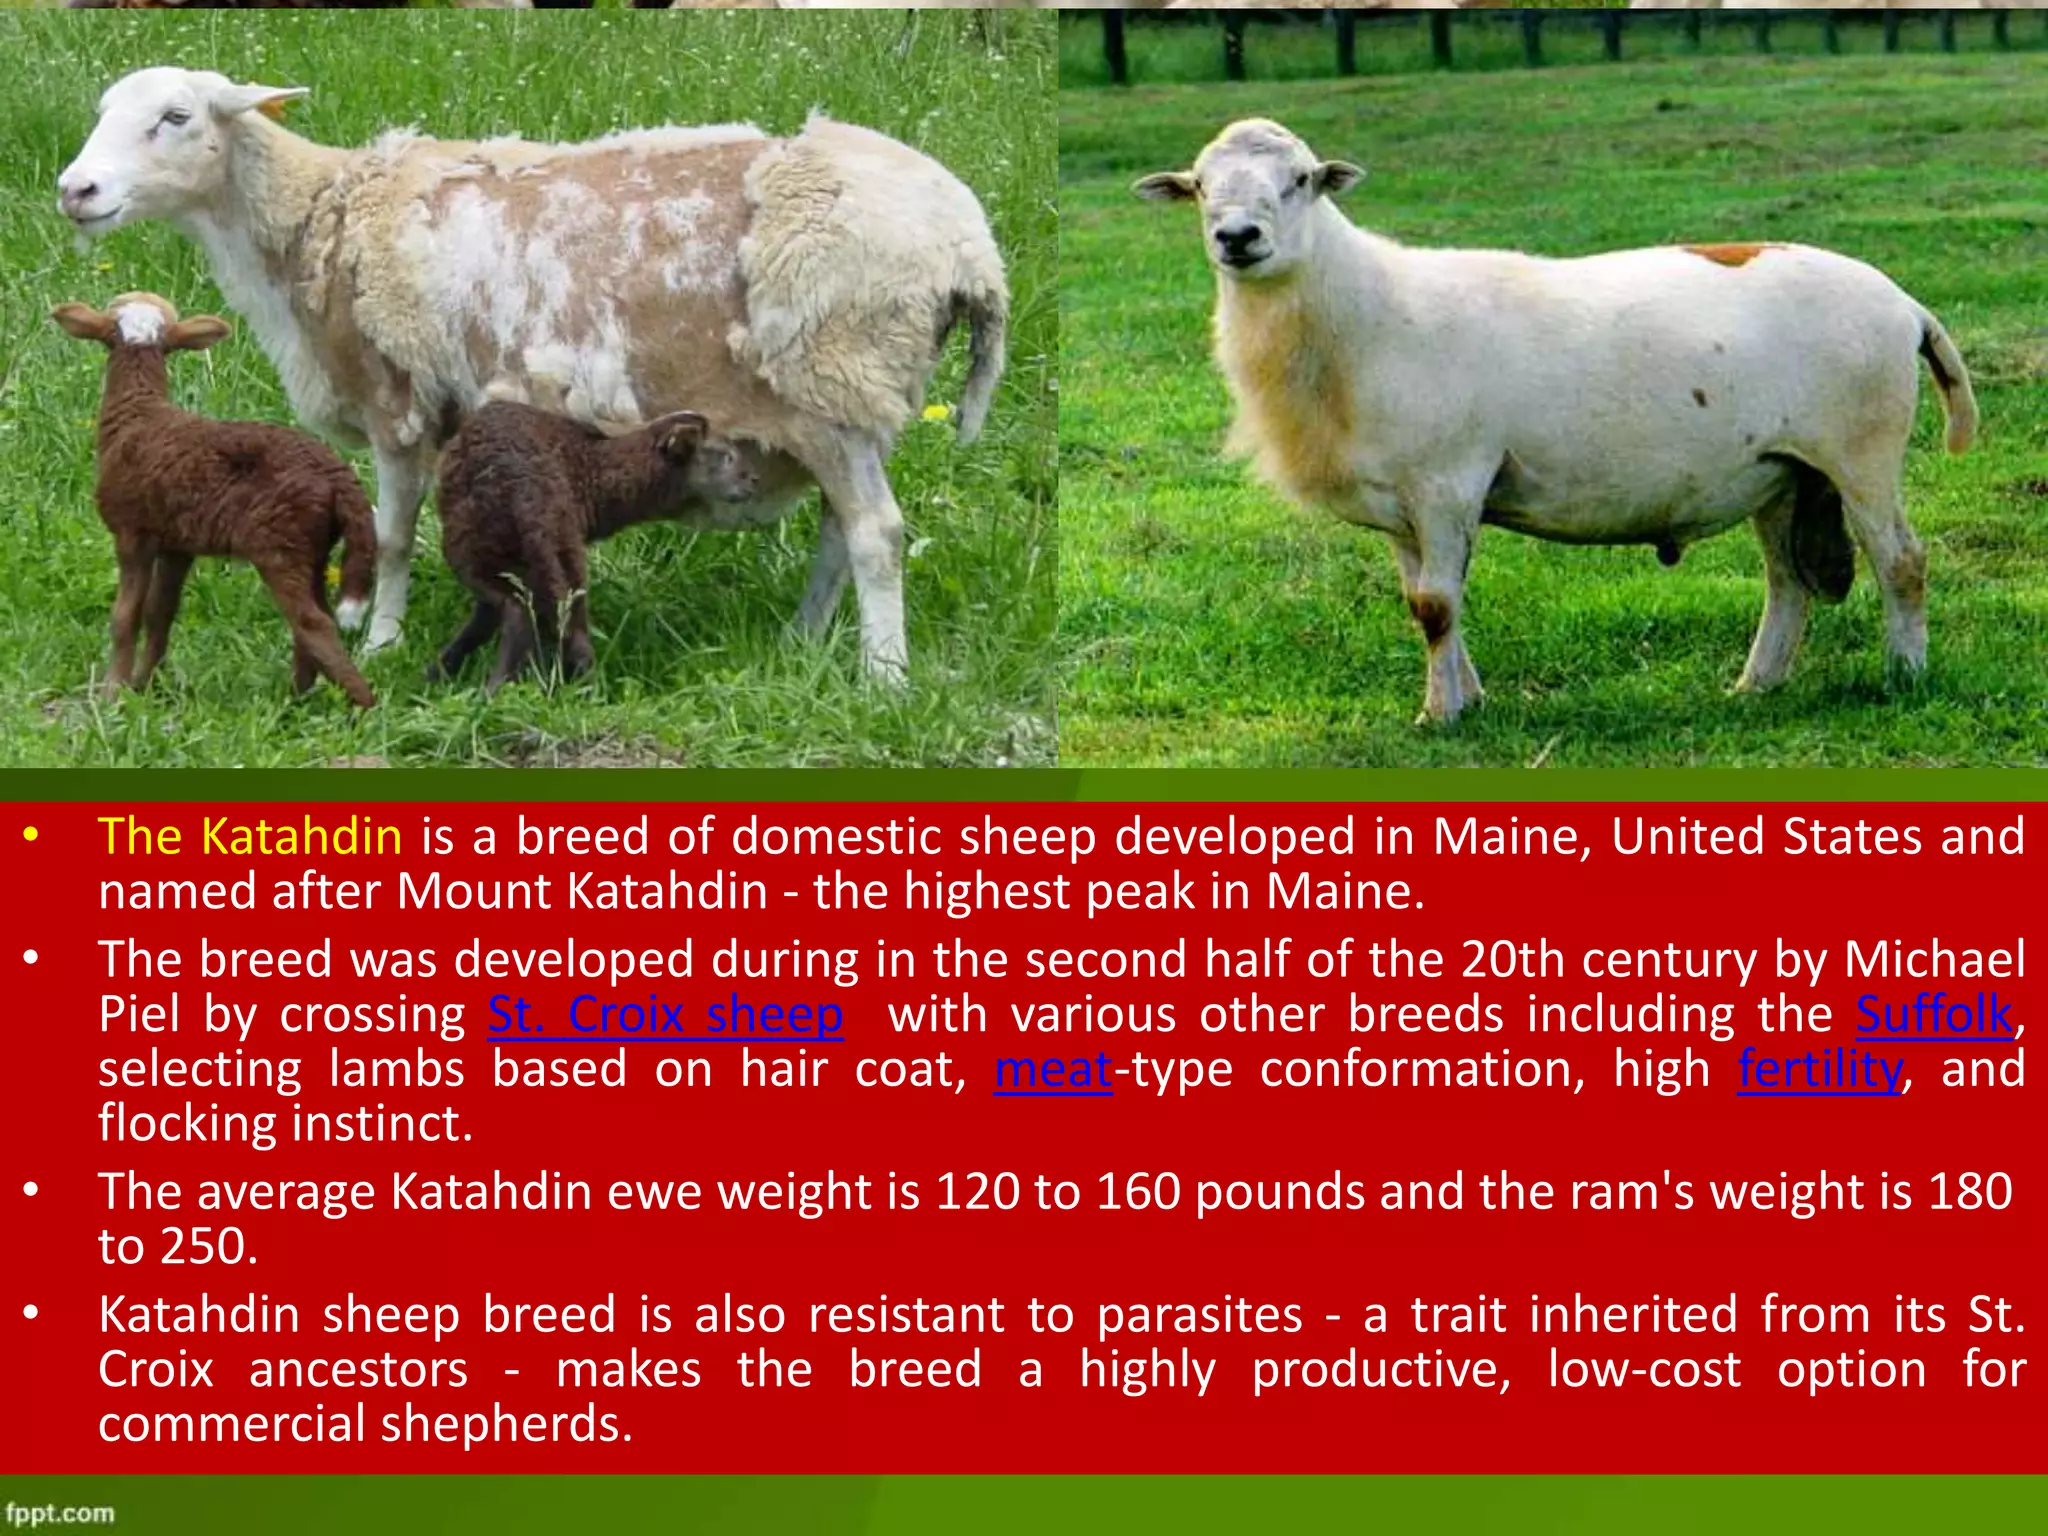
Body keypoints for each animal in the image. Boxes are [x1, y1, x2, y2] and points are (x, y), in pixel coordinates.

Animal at [51, 293, 378, 709]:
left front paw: (113, 692)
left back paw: (361, 705)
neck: (138, 415)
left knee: (312, 622)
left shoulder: (132, 530)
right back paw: (296, 698)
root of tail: (340, 477)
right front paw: (144, 683)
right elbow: (160, 613)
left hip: (280, 543)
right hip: (313, 545)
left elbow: (125, 616)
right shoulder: (176, 542)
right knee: (316, 618)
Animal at [430, 401, 762, 693]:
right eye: (726, 456)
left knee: (518, 611)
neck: (596, 478)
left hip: (488, 553)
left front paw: (441, 670)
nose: (755, 480)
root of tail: (523, 489)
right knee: (552, 626)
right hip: (552, 554)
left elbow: (481, 620)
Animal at [1136, 118, 1977, 724]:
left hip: (1862, 452)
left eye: (1301, 181)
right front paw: (1466, 700)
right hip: (1779, 472)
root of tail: (1905, 304)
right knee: (1788, 582)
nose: (1237, 238)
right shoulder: (1403, 506)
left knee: (1902, 562)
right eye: (1201, 186)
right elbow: (1425, 606)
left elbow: (1437, 606)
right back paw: (1755, 687)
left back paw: (1905, 675)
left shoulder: (1448, 480)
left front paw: (1439, 718)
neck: (1362, 312)